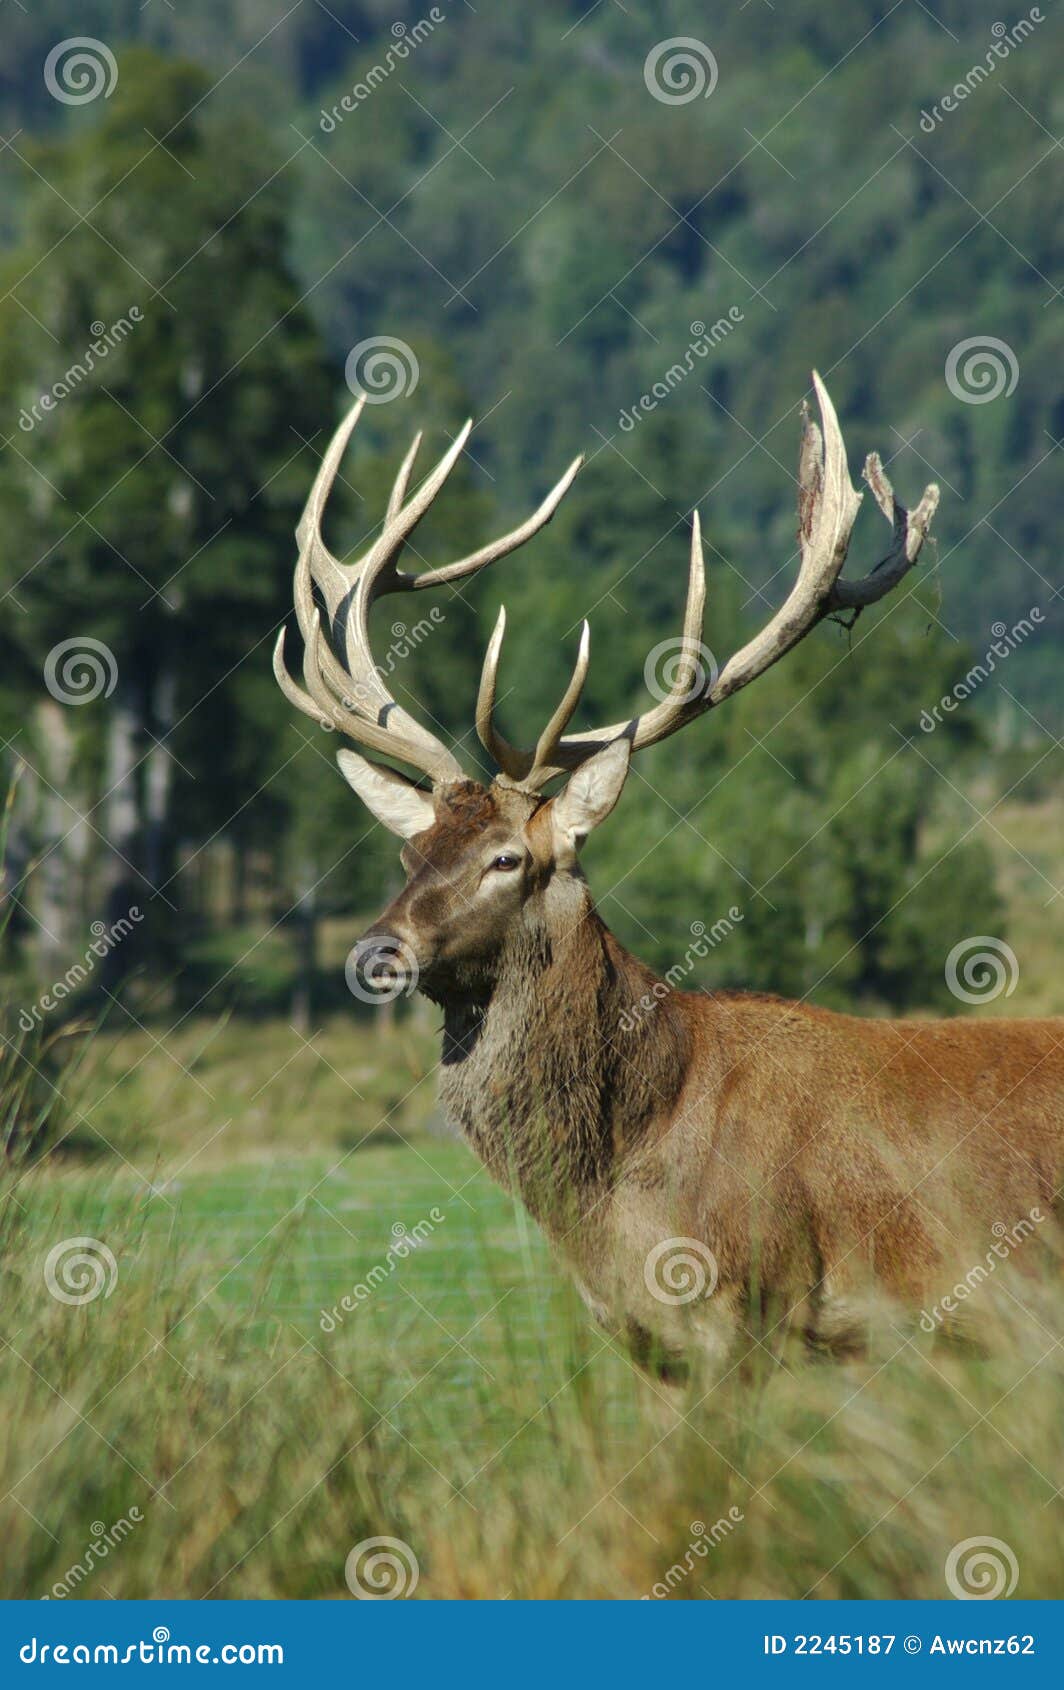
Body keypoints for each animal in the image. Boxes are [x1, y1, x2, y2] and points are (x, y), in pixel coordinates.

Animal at [274, 375, 1064, 1383]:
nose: (378, 950)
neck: (618, 1194)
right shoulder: (645, 1344)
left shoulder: (747, 1309)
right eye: (411, 856)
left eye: (508, 858)